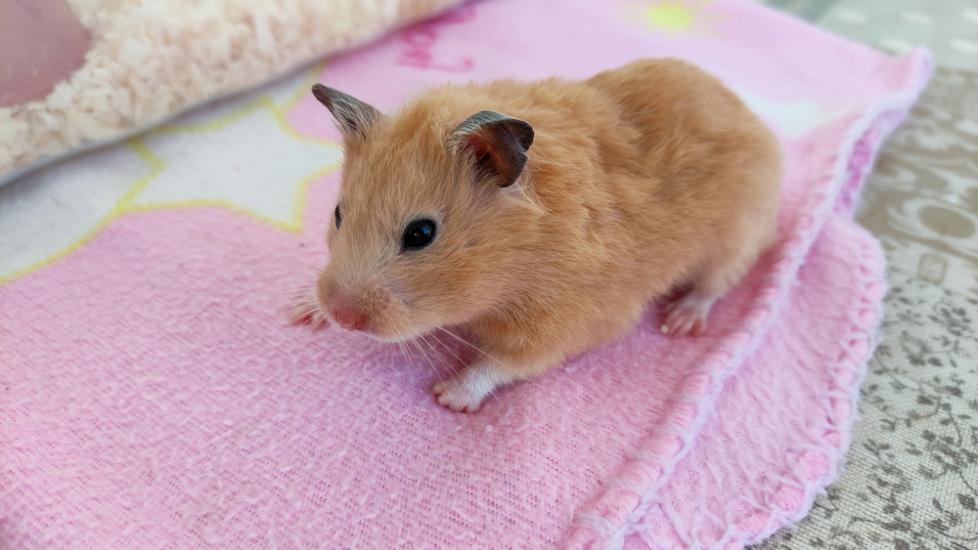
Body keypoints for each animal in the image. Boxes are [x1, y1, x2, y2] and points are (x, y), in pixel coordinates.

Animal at [291, 58, 782, 412]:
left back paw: (680, 321)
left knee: (717, 282)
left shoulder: (561, 324)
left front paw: (448, 396)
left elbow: (502, 364)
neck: (516, 256)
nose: (343, 316)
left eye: (421, 233)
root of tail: (751, 116)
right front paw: (303, 313)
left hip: (740, 231)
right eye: (338, 213)